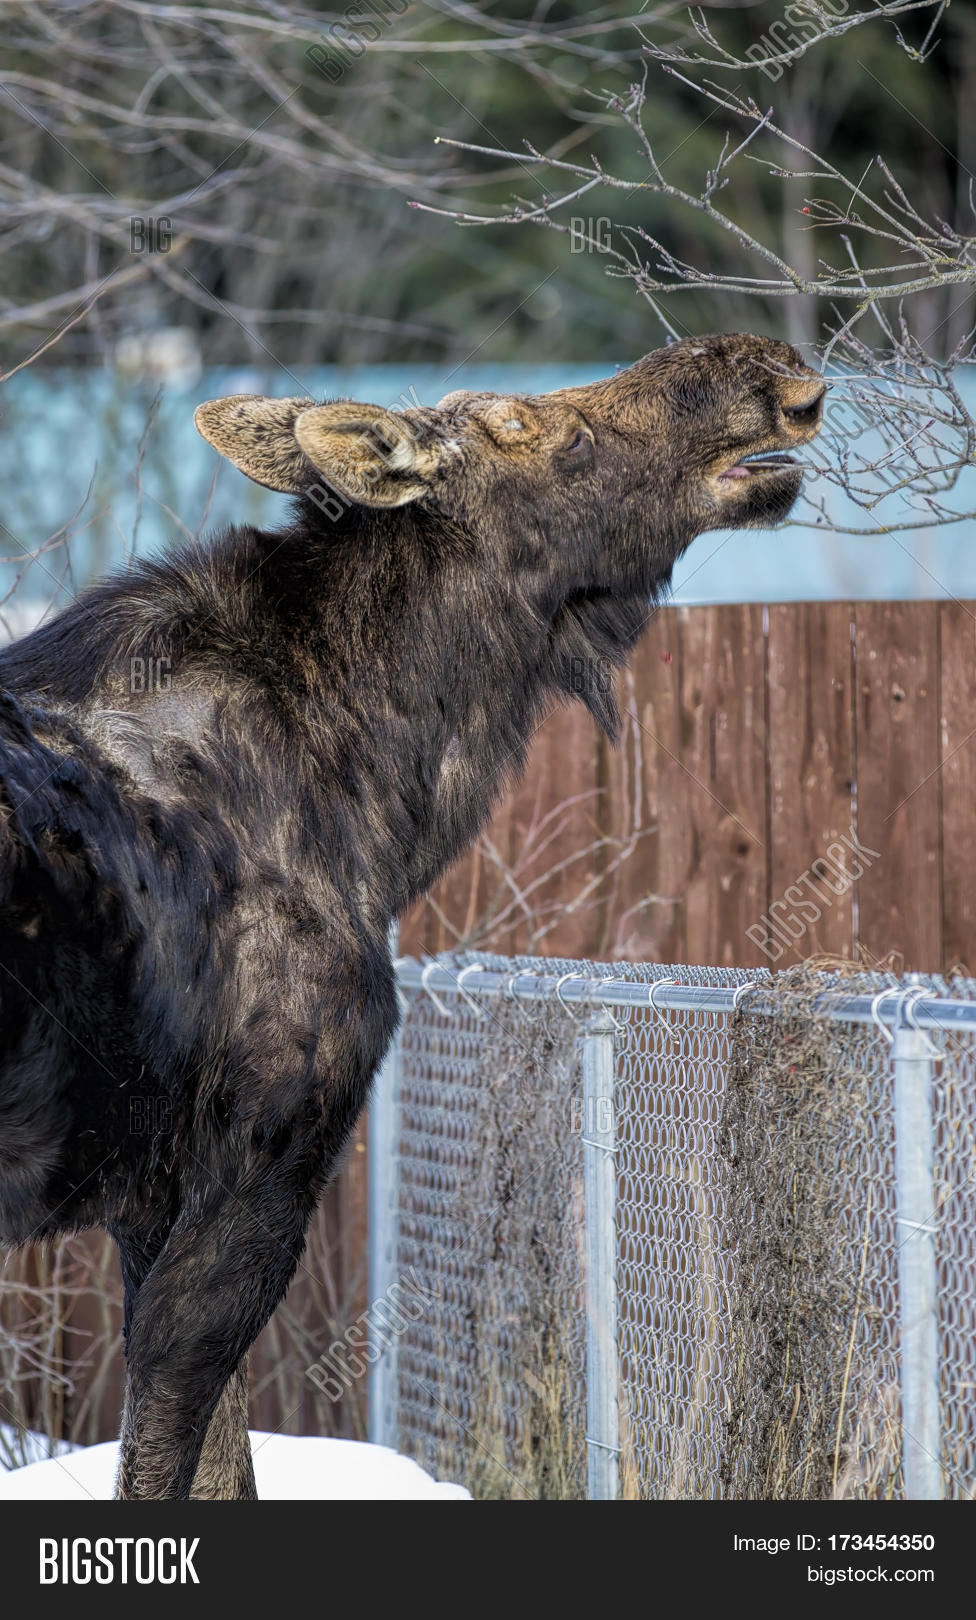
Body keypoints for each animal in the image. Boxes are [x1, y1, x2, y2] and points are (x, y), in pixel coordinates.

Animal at [0, 333, 824, 1496]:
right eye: (552, 431)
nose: (764, 362)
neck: (385, 803)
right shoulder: (263, 1152)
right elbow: (169, 1451)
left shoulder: (150, 1194)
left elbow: (221, 1463)